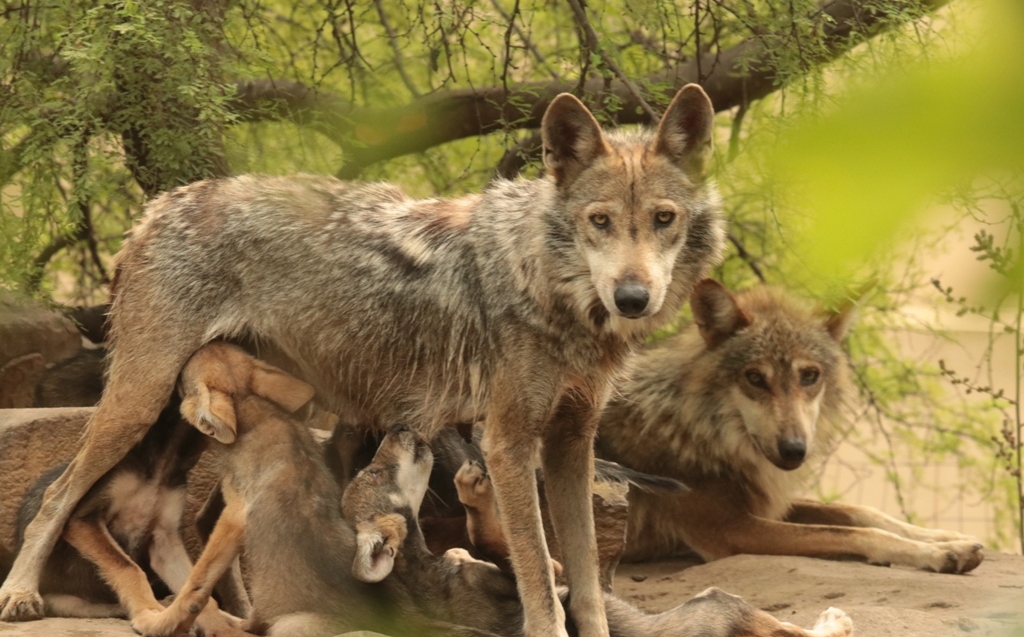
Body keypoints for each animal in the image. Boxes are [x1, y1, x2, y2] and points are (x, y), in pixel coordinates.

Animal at [1, 85, 725, 637]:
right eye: (600, 221)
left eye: (663, 219)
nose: (633, 297)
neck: (543, 281)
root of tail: (157, 206)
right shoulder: (510, 441)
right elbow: (541, 585)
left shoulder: (573, 440)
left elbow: (588, 581)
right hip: (140, 401)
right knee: (60, 497)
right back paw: (23, 593)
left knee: (202, 523)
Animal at [341, 424, 854, 637]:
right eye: (372, 473)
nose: (399, 425)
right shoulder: (544, 580)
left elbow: (489, 539)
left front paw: (473, 490)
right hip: (718, 602)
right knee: (791, 632)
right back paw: (836, 620)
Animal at [594, 279, 985, 573]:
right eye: (755, 378)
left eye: (809, 376)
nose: (795, 449)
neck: (696, 430)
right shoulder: (732, 529)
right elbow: (851, 533)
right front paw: (937, 554)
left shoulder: (769, 502)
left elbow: (859, 512)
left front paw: (947, 539)